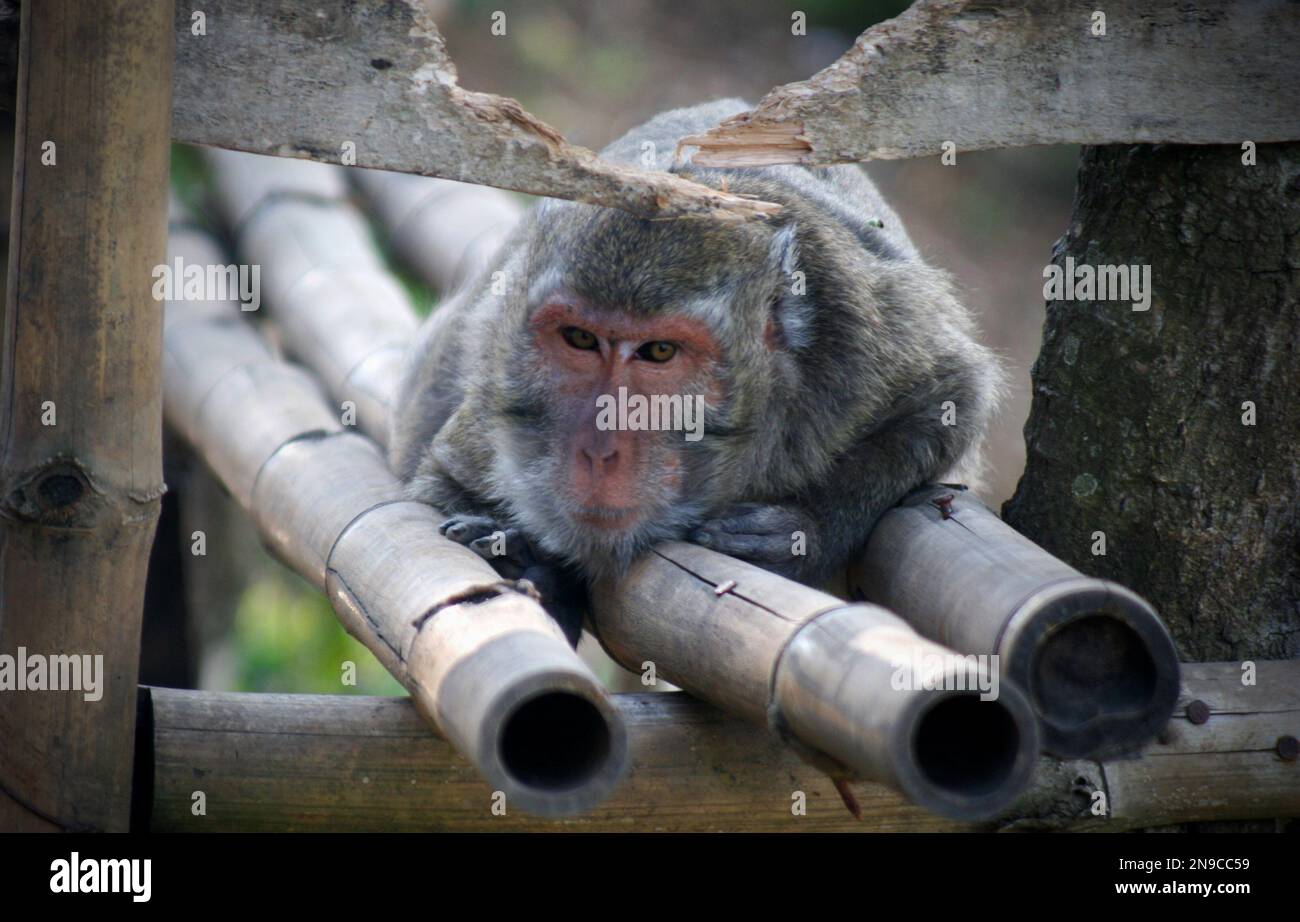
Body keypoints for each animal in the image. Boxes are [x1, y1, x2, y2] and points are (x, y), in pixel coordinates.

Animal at [389, 99, 1002, 645]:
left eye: (659, 353)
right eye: (581, 340)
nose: (599, 450)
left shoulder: (859, 337)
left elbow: (950, 397)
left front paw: (802, 527)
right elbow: (440, 485)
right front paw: (537, 566)